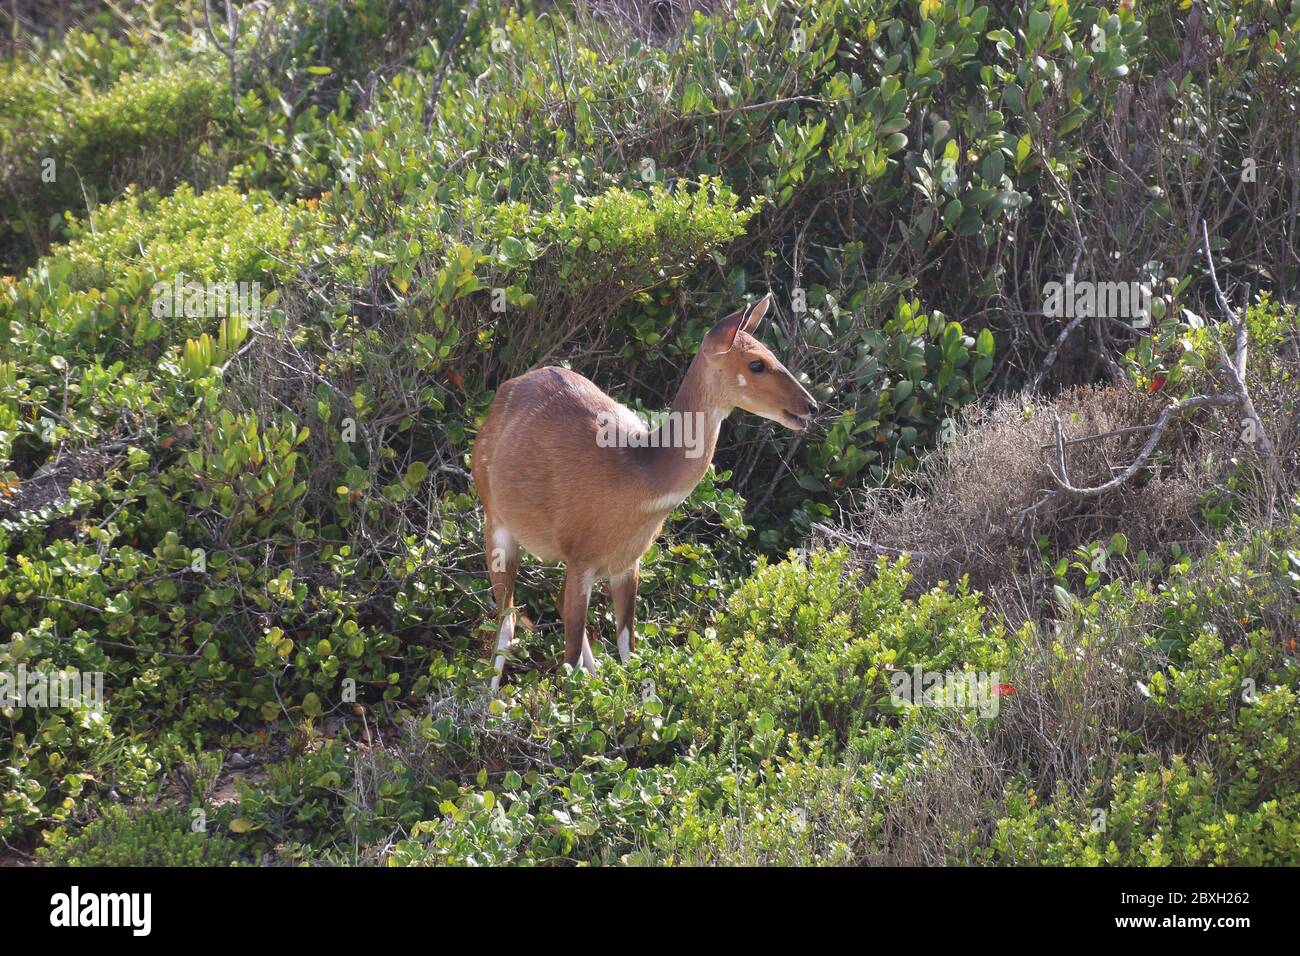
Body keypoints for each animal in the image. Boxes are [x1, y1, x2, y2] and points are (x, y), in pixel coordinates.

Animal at [471, 293, 817, 690]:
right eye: (757, 363)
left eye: (771, 352)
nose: (810, 406)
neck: (639, 475)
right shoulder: (581, 557)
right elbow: (569, 660)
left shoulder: (627, 562)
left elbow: (628, 647)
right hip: (496, 522)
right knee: (508, 618)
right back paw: (491, 700)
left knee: (549, 606)